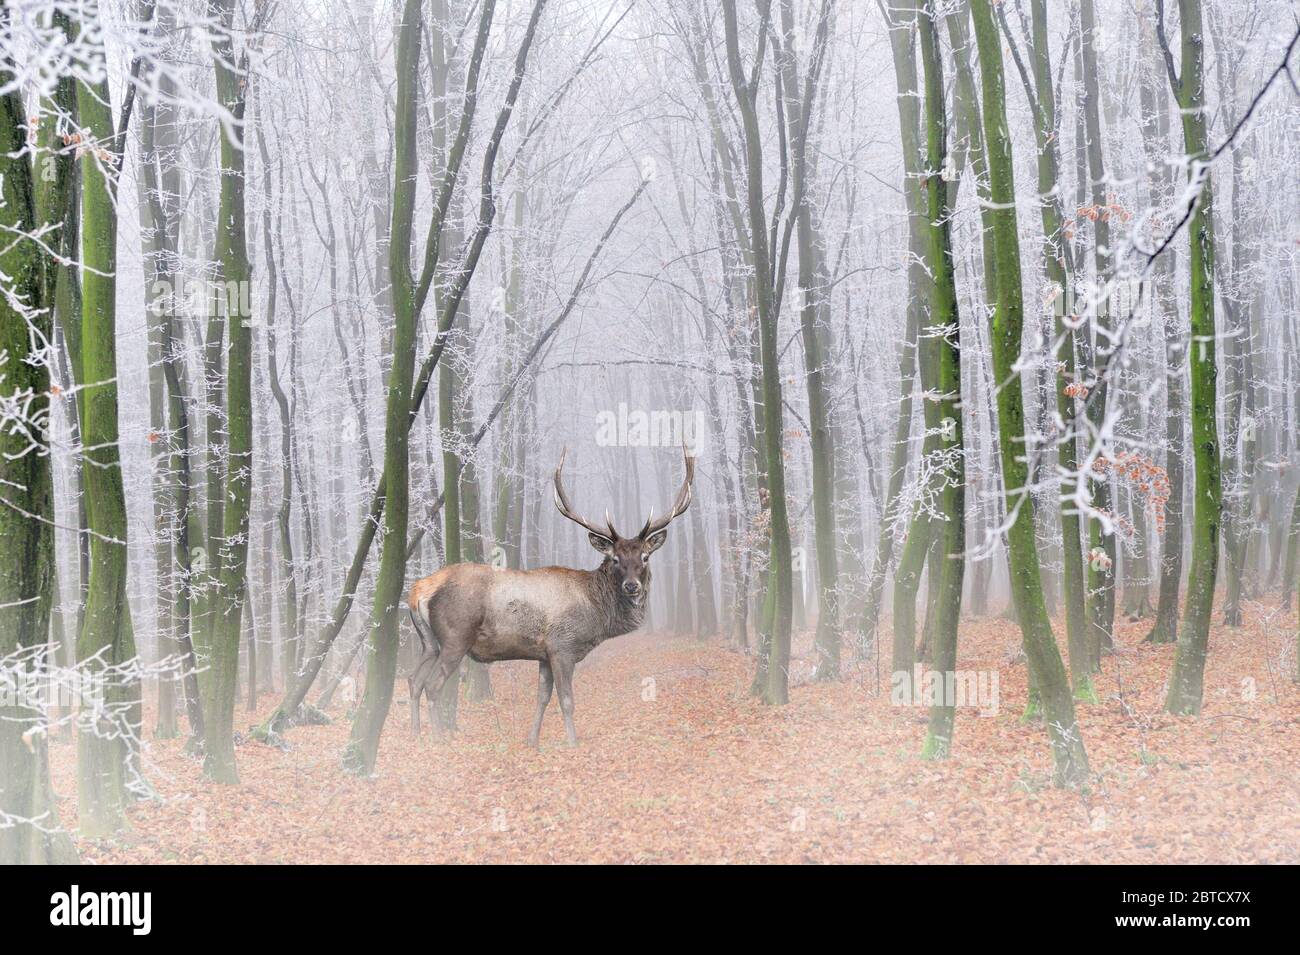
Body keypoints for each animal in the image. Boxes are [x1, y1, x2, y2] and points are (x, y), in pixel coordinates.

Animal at [406, 446, 694, 747]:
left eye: (645, 556)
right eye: (615, 559)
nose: (631, 586)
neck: (596, 614)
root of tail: (418, 590)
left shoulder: (543, 654)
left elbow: (542, 698)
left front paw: (532, 741)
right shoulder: (562, 647)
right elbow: (566, 700)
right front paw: (573, 743)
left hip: (429, 642)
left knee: (413, 679)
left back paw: (416, 734)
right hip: (455, 637)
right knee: (432, 686)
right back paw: (438, 739)